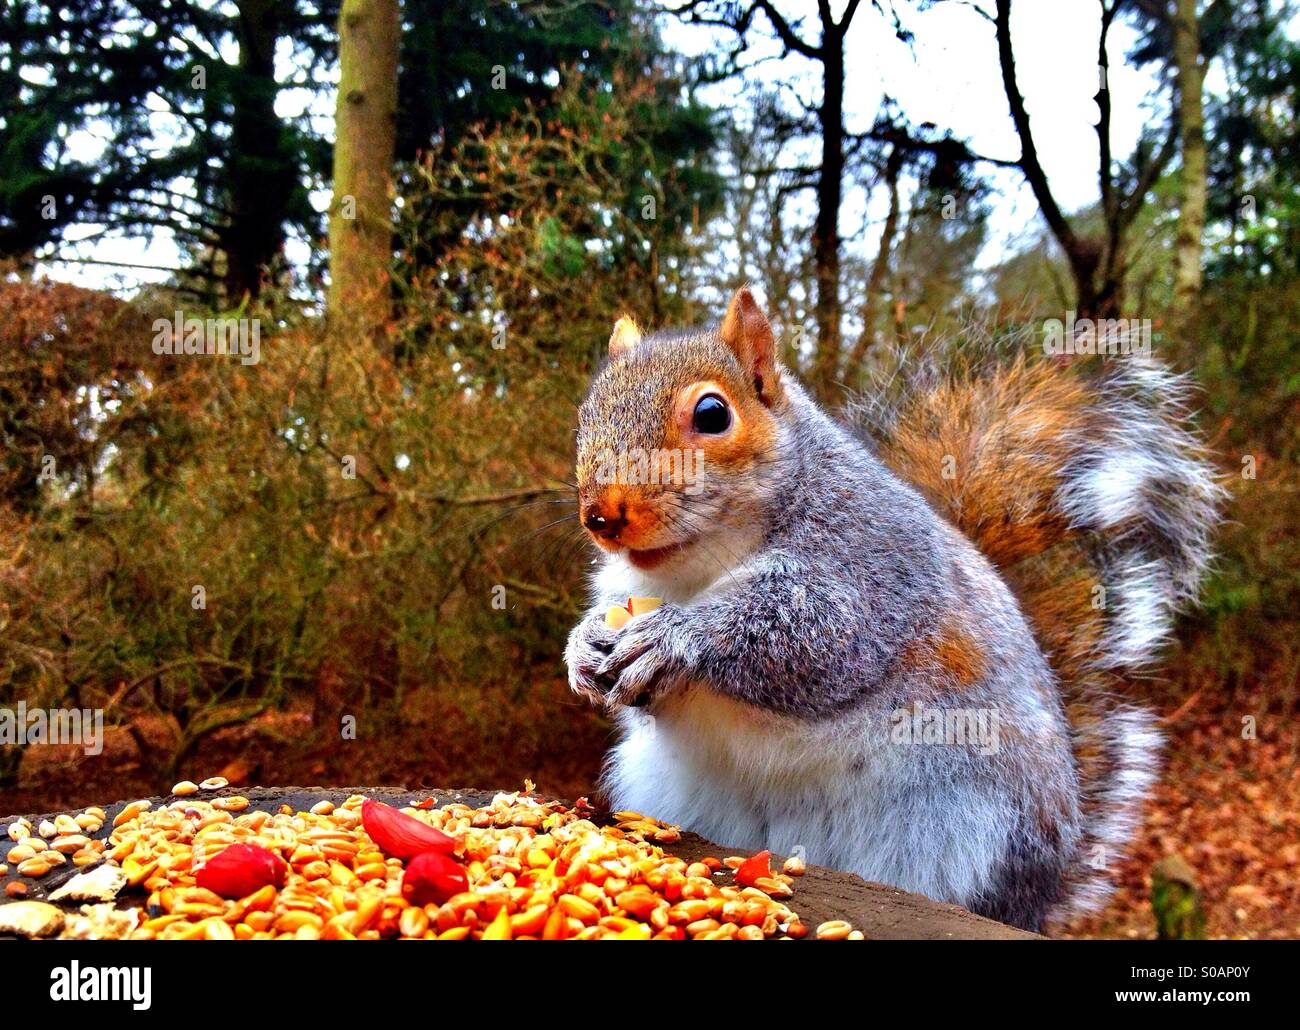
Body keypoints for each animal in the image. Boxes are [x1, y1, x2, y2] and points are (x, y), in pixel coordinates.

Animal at [564, 287, 1221, 932]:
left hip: (962, 827)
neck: (699, 564)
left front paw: (675, 637)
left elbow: (818, 638)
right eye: (585, 415)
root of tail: (1034, 903)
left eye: (712, 415)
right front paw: (584, 647)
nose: (601, 514)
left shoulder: (876, 565)